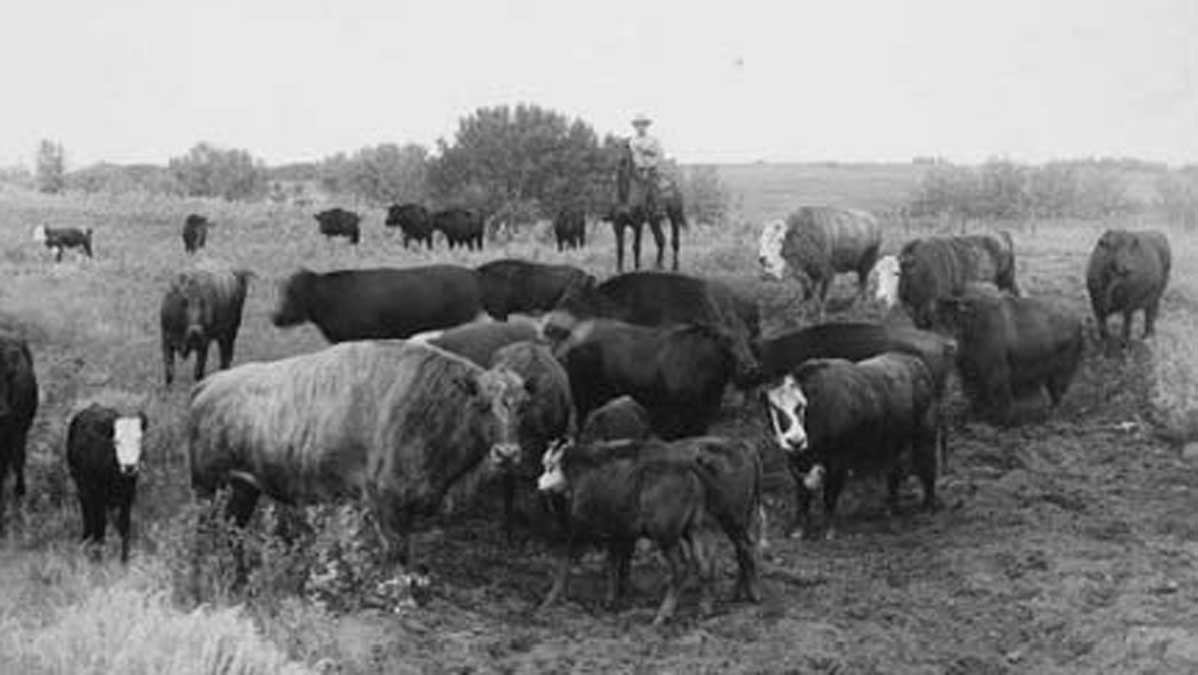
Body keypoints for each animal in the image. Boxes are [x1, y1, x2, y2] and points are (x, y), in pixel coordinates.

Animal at [67, 404, 148, 562]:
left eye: (139, 439)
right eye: (116, 441)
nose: (129, 466)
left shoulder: (128, 496)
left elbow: (124, 527)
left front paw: (124, 561)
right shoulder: (98, 494)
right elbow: (100, 526)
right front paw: (98, 559)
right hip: (81, 485)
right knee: (88, 513)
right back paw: (86, 540)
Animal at [765, 352, 939, 539]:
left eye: (800, 405)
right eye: (774, 406)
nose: (795, 440)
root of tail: (914, 361)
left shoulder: (838, 462)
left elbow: (829, 495)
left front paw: (829, 531)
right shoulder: (794, 462)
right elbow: (802, 497)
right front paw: (798, 530)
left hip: (925, 436)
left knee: (928, 467)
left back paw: (928, 507)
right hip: (893, 443)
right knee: (894, 471)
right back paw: (891, 508)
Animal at [933, 287, 1083, 423]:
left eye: (958, 321)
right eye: (939, 321)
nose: (949, 346)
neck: (974, 324)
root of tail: (1076, 318)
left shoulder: (996, 373)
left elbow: (999, 397)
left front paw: (1002, 420)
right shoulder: (970, 374)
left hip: (1060, 372)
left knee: (1058, 394)